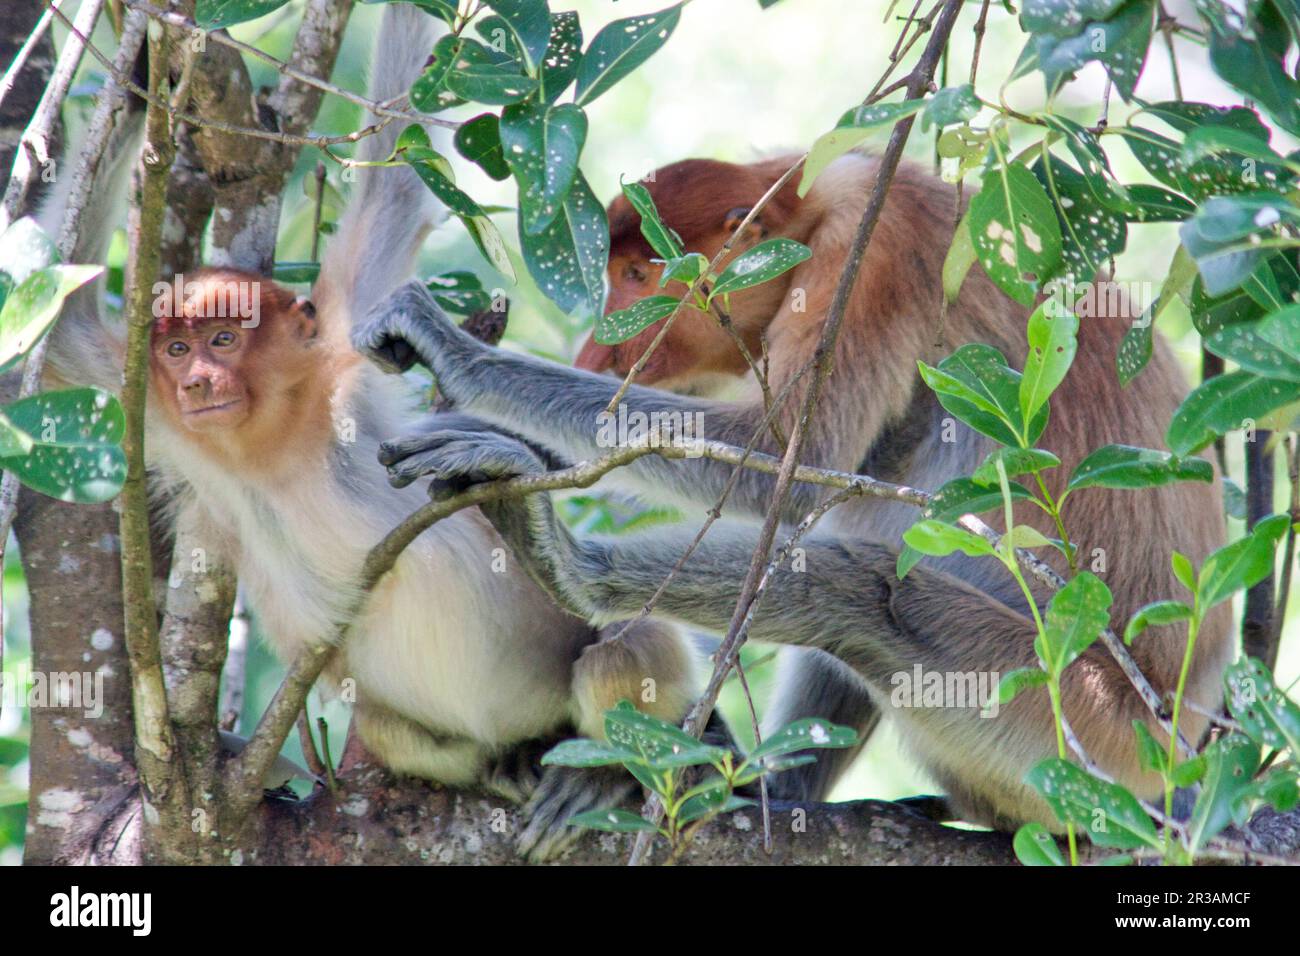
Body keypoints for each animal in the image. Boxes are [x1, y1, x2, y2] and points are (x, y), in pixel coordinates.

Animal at [40, 4, 708, 861]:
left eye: (224, 339)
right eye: (178, 349)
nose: (198, 384)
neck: (277, 441)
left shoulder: (346, 336)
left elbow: (397, 173)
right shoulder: (156, 410)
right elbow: (59, 329)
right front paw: (133, 79)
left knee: (623, 649)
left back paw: (605, 776)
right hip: (421, 727)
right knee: (395, 729)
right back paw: (501, 764)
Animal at [347, 150, 1230, 826]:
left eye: (638, 274)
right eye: (614, 275)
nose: (599, 350)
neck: (818, 210)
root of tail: (1179, 750)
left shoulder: (873, 254)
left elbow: (782, 460)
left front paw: (462, 366)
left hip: (1071, 716)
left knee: (866, 588)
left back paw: (563, 563)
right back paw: (767, 789)